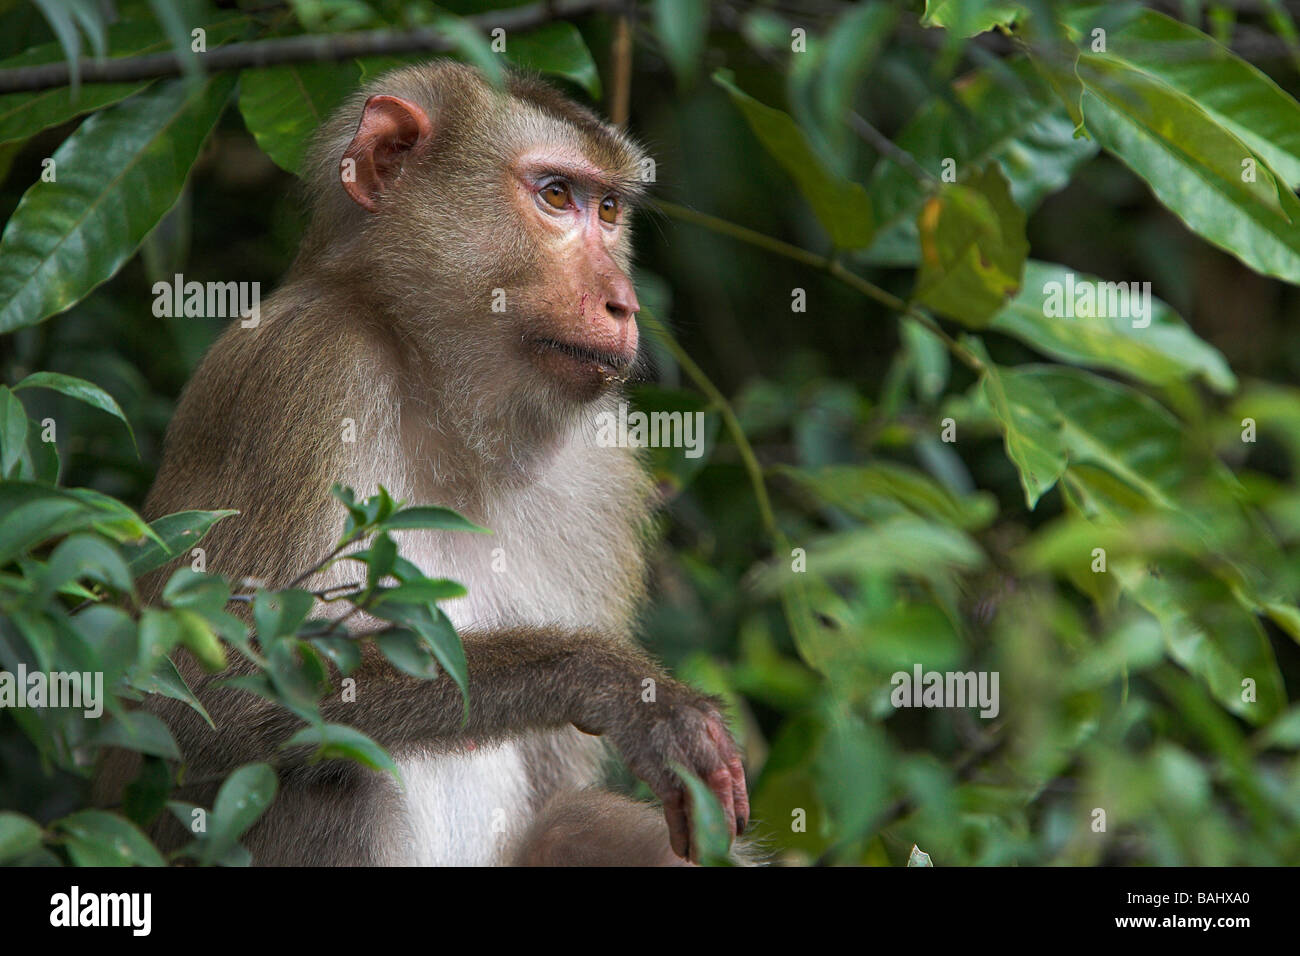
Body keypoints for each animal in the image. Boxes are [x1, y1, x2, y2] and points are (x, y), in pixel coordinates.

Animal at [94, 60, 749, 866]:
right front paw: (609, 684)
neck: (442, 397)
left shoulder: (601, 462)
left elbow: (558, 791)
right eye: (555, 195)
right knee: (337, 770)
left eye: (609, 209)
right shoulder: (301, 373)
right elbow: (203, 694)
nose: (624, 304)